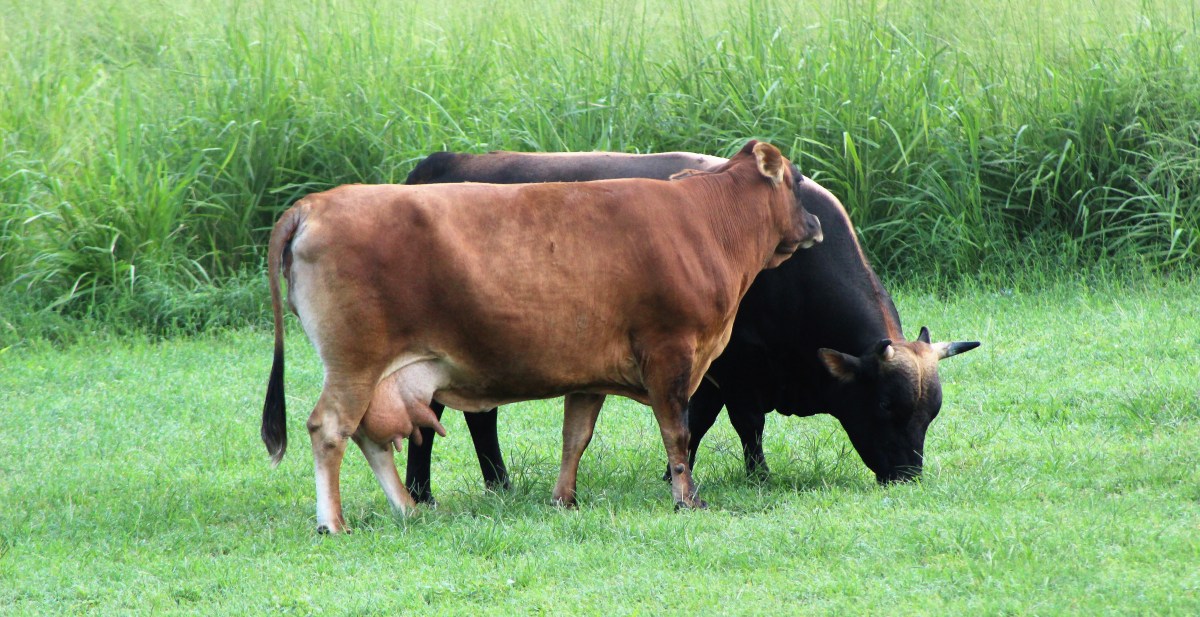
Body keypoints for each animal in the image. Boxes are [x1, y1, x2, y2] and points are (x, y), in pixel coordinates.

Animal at [261, 141, 824, 533]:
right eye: (796, 182)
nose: (817, 221)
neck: (704, 221)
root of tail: (315, 205)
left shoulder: (592, 374)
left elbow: (575, 437)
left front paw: (564, 498)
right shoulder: (671, 354)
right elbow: (677, 434)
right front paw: (687, 499)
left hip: (380, 375)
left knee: (370, 436)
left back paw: (407, 508)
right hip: (355, 364)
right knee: (330, 429)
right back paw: (333, 522)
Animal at [403, 148, 979, 503]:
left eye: (931, 414)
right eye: (884, 406)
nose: (908, 476)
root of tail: (436, 164)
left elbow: (695, 421)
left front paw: (676, 475)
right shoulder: (731, 366)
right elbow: (739, 422)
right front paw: (754, 476)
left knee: (479, 418)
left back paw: (496, 485)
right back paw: (422, 492)